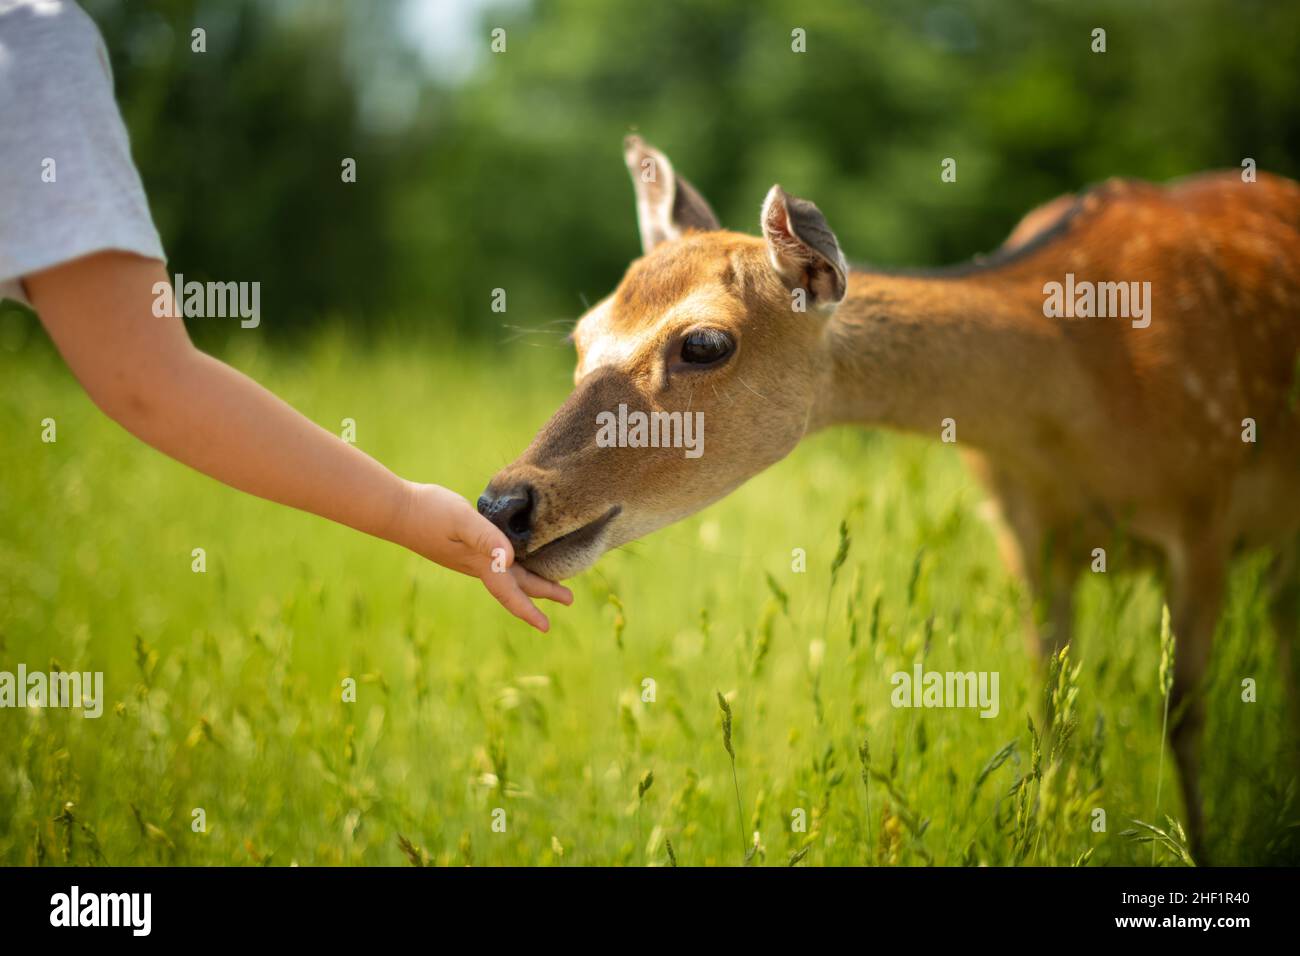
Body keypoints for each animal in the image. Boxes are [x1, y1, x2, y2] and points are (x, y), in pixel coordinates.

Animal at [478, 135, 1300, 858]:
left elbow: (1181, 715)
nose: (505, 504)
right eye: (582, 336)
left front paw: (1197, 846)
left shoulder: (1204, 514)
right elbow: (1050, 708)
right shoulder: (1024, 533)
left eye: (705, 343)